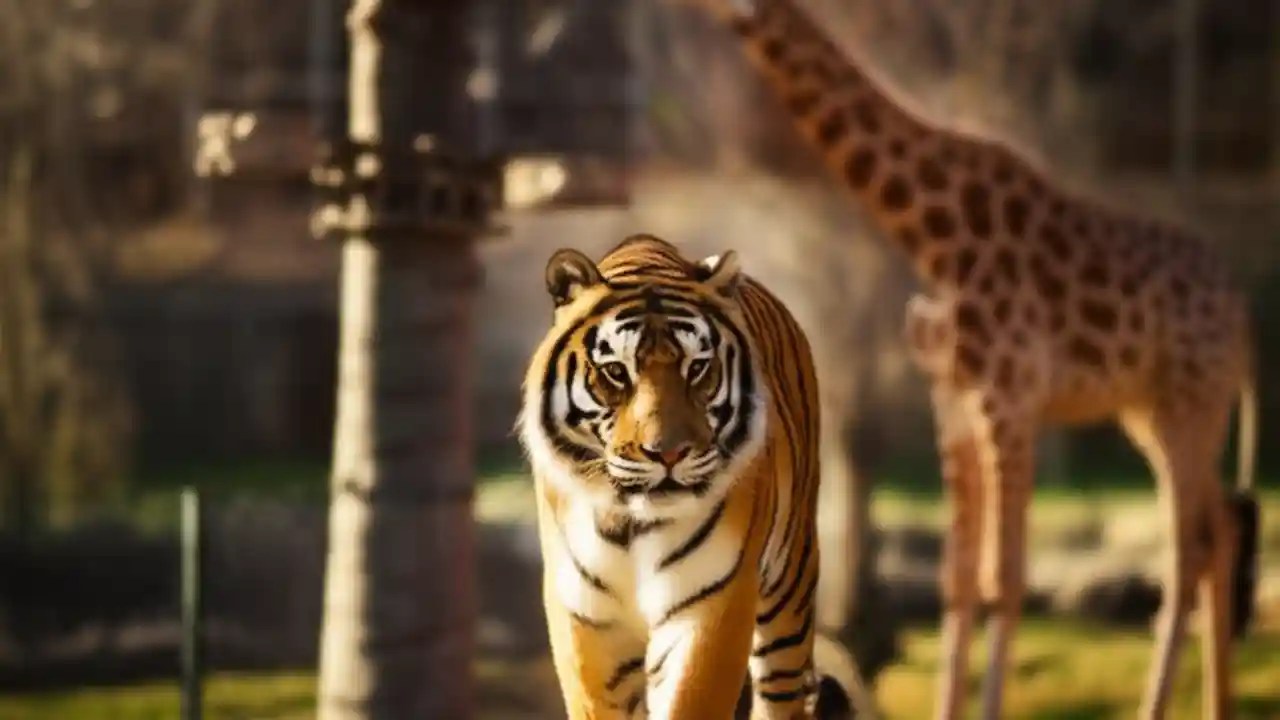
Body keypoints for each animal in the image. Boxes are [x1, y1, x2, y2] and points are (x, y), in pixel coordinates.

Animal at [517, 234, 869, 719]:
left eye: (698, 368)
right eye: (616, 372)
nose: (668, 452)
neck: (630, 525)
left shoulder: (710, 607)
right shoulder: (586, 617)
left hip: (790, 593)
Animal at [690, 0, 1261, 718]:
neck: (934, 234)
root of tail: (1242, 317)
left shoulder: (1008, 398)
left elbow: (1004, 576)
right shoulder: (956, 402)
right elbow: (959, 577)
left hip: (1191, 402)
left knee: (1188, 553)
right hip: (1154, 412)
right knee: (1219, 529)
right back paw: (1216, 702)